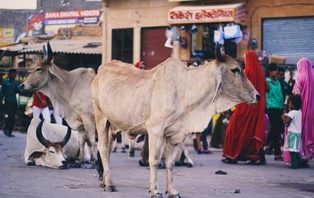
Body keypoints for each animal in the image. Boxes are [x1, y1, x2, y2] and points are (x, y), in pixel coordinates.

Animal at [91, 44, 260, 197]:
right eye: (235, 70)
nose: (257, 95)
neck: (184, 90)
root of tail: (101, 69)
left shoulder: (175, 135)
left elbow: (170, 163)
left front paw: (171, 191)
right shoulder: (155, 130)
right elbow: (154, 160)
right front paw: (155, 190)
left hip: (112, 126)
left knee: (108, 150)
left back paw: (105, 181)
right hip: (100, 118)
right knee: (103, 149)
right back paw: (110, 184)